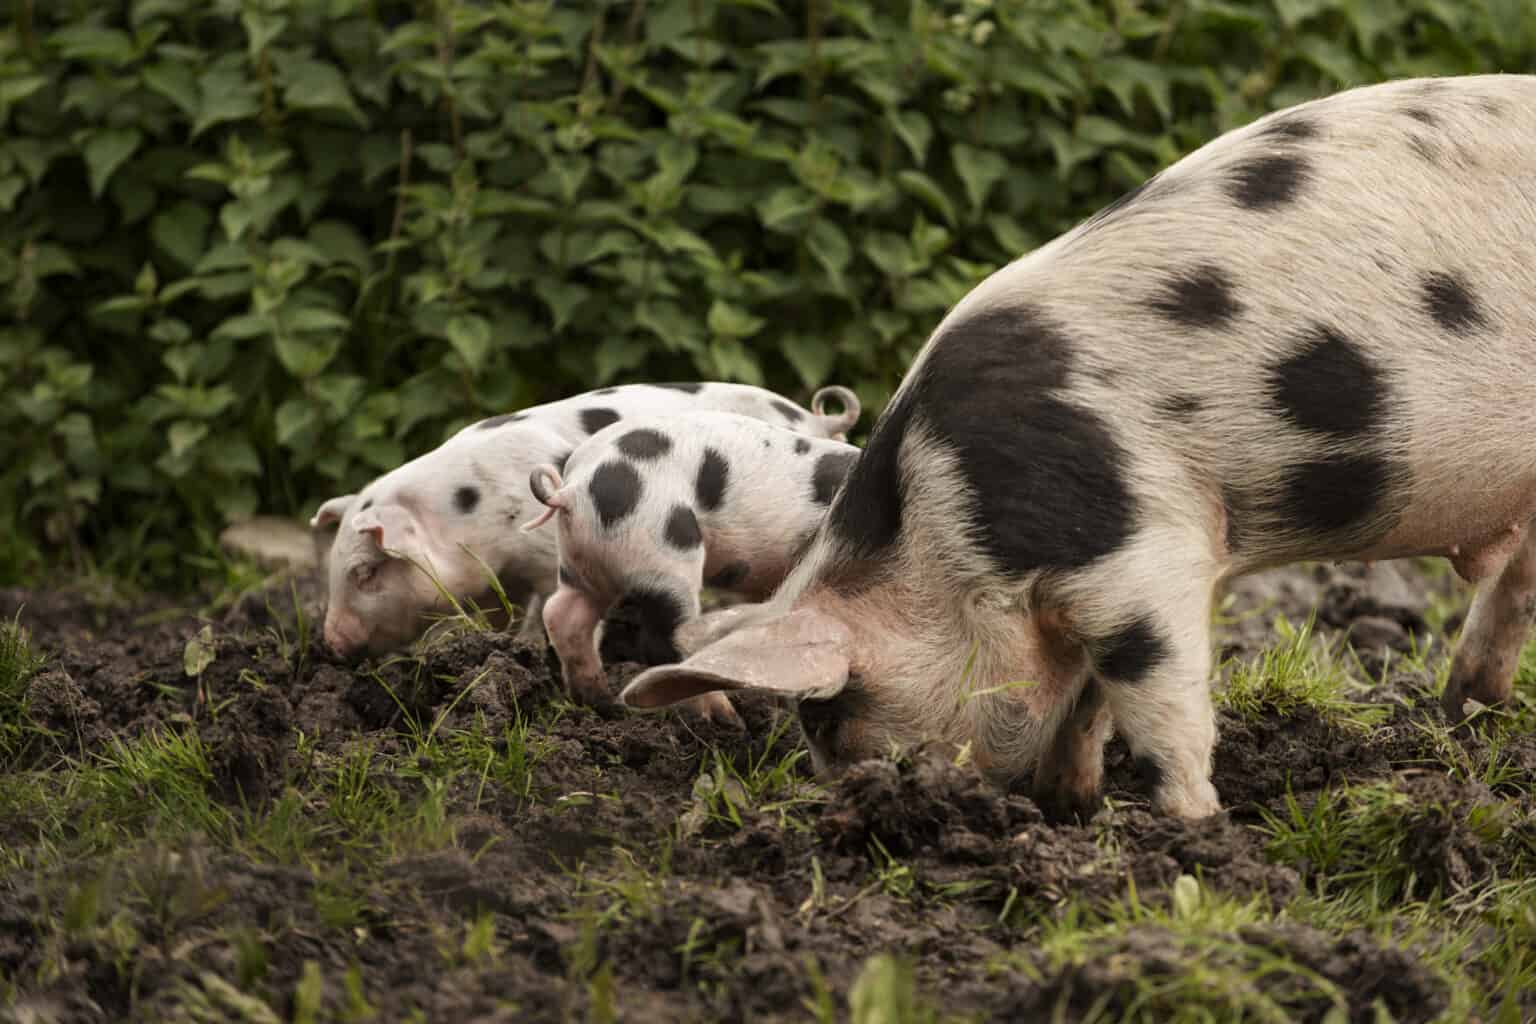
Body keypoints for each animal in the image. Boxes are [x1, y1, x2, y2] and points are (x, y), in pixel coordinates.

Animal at [309, 381, 860, 659]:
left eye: (365, 572)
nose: (331, 643)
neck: (471, 514)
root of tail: (817, 419)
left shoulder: (544, 559)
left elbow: (543, 611)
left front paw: (530, 652)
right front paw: (493, 646)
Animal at [519, 411, 860, 722]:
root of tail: (573, 488)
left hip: (583, 560)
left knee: (563, 614)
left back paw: (603, 704)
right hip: (665, 551)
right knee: (664, 645)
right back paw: (724, 719)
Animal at [617, 74, 1536, 822]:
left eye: (826, 714)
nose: (853, 796)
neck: (949, 524)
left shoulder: (1142, 553)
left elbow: (1158, 698)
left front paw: (1193, 829)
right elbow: (1087, 699)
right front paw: (1072, 806)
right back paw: (1465, 713)